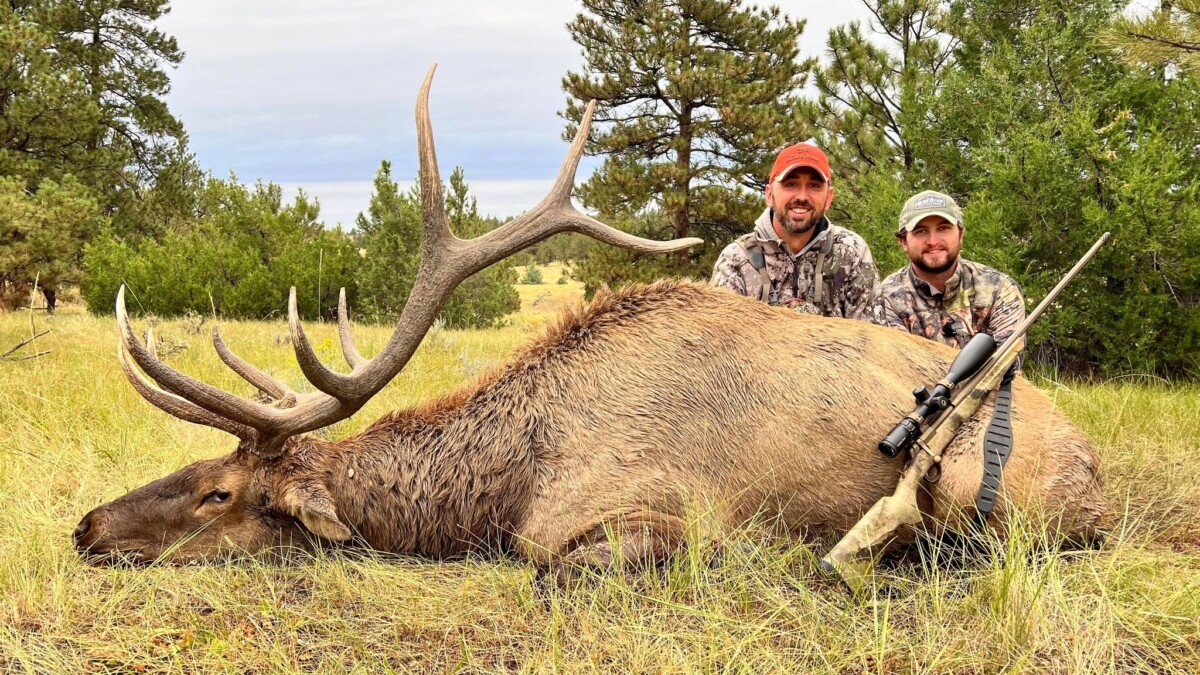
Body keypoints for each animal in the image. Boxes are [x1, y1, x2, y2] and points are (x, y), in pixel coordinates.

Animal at [73, 68, 1105, 578]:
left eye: (217, 492)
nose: (85, 525)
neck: (510, 479)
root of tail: (1099, 462)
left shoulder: (661, 515)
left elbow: (553, 566)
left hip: (992, 493)